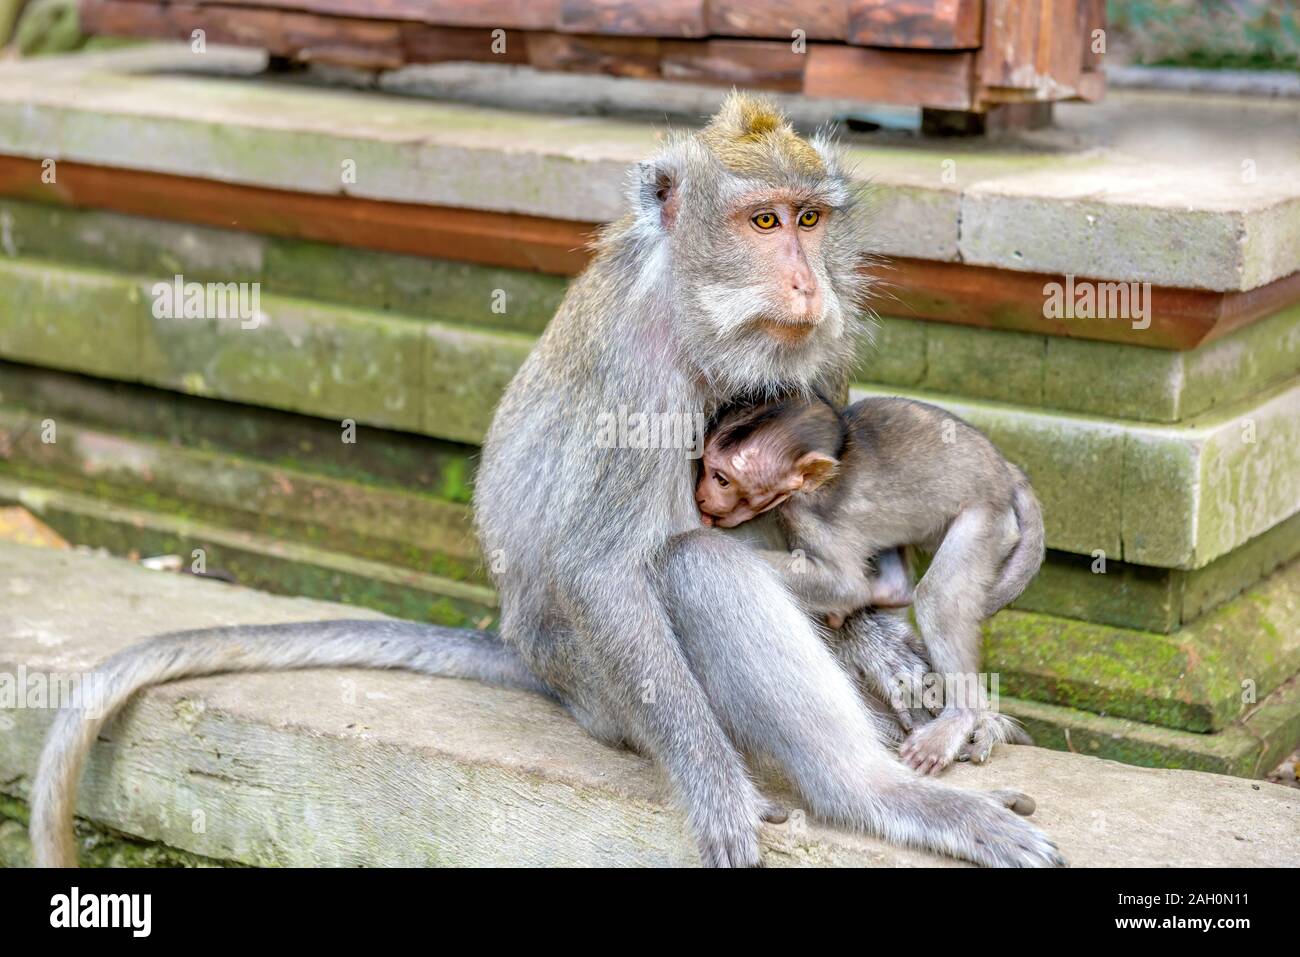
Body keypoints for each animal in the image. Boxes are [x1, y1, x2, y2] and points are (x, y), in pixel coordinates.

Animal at [695, 391, 1045, 774]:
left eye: (722, 479)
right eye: (705, 467)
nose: (700, 496)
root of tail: (1004, 471)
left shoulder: (805, 516)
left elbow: (845, 583)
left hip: (985, 518)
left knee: (937, 597)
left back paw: (960, 718)